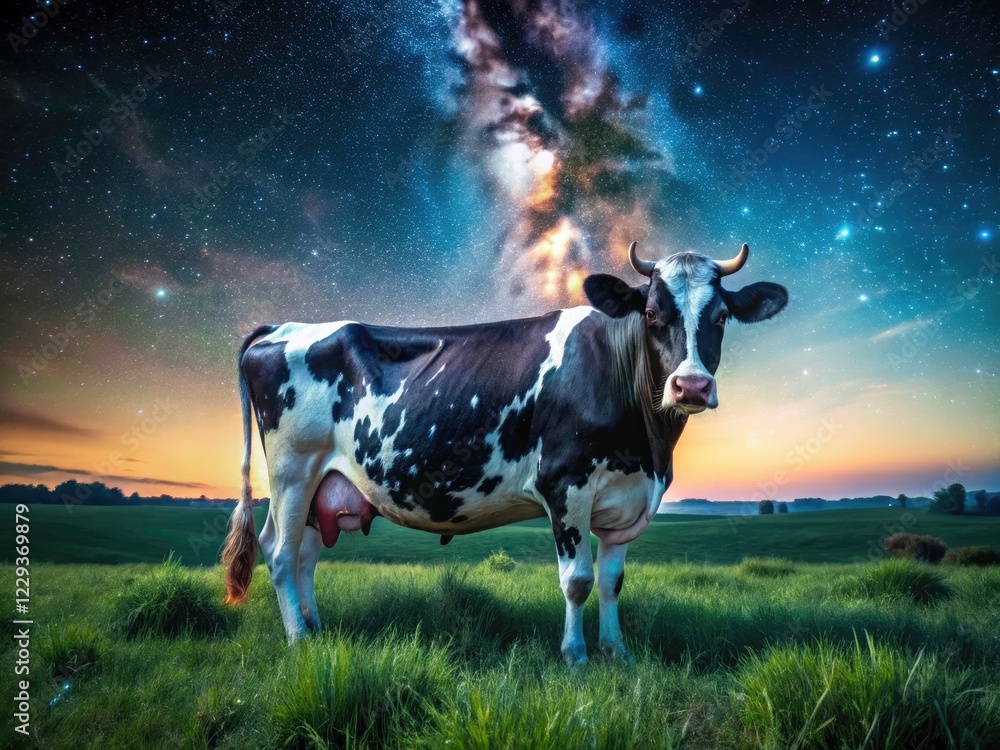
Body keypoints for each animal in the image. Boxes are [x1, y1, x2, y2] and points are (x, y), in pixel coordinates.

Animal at [221, 242, 787, 663]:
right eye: (650, 313)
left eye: (721, 317)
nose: (690, 386)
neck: (647, 448)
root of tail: (282, 327)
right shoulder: (565, 483)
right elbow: (577, 581)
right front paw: (575, 655)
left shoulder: (624, 497)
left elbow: (611, 582)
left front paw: (617, 651)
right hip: (293, 470)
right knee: (280, 552)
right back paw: (298, 638)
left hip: (325, 483)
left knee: (305, 554)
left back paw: (316, 626)